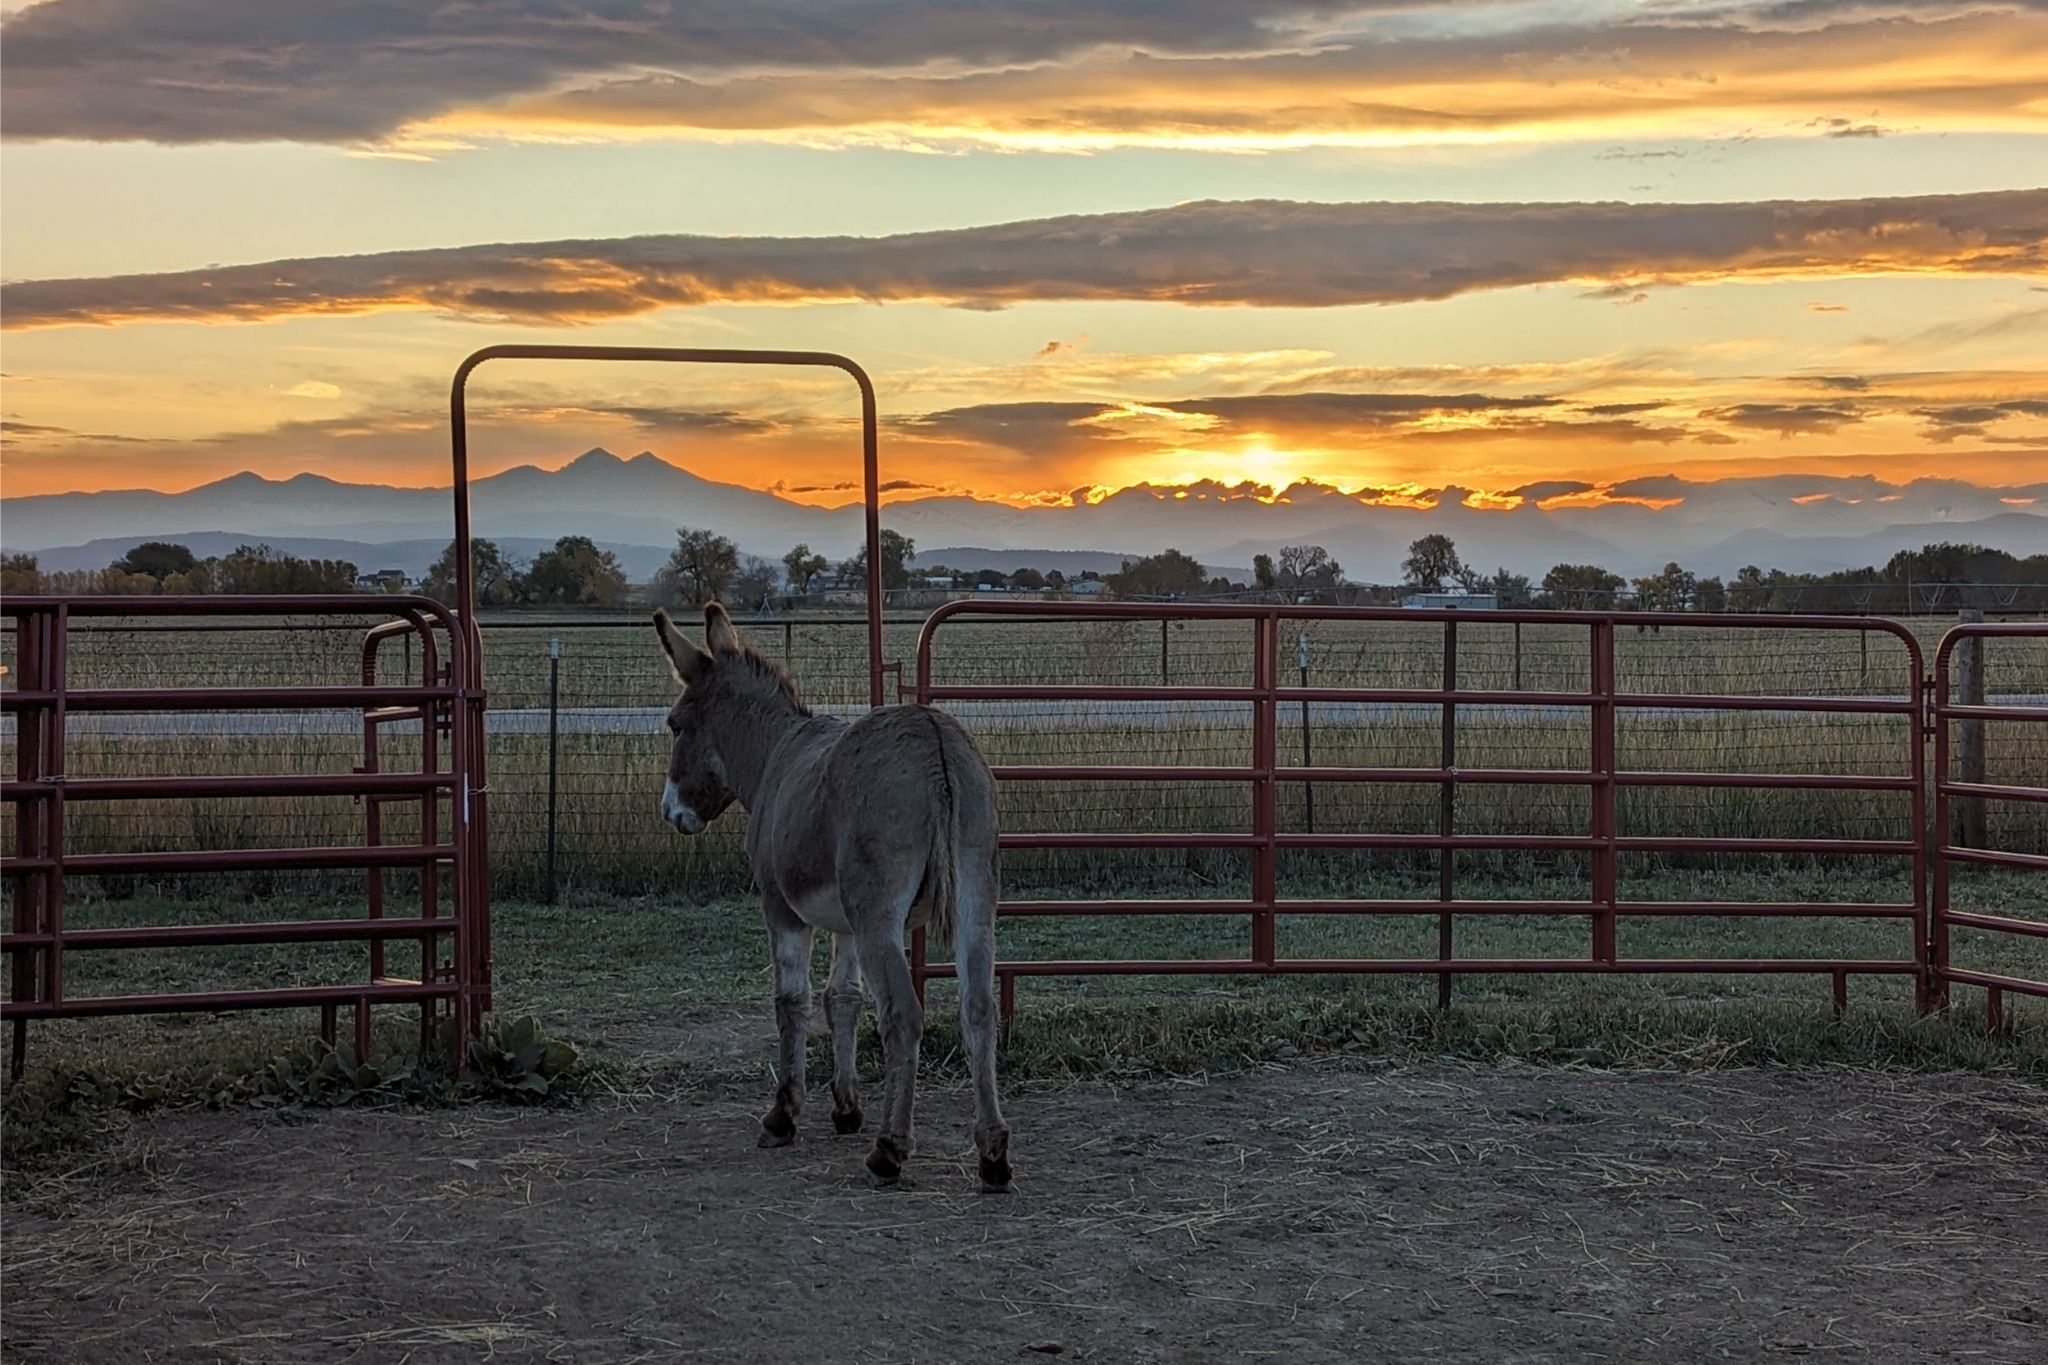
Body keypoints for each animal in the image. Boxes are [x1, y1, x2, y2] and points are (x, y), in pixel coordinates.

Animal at [652, 602, 1012, 1192]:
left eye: (675, 725)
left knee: (902, 1016)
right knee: (978, 1009)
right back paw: (994, 1155)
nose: (671, 813)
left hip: (879, 917)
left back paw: (889, 1150)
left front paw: (783, 1115)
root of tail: (934, 736)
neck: (774, 755)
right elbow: (842, 999)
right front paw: (846, 1108)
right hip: (976, 901)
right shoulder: (844, 924)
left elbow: (791, 1001)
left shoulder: (781, 908)